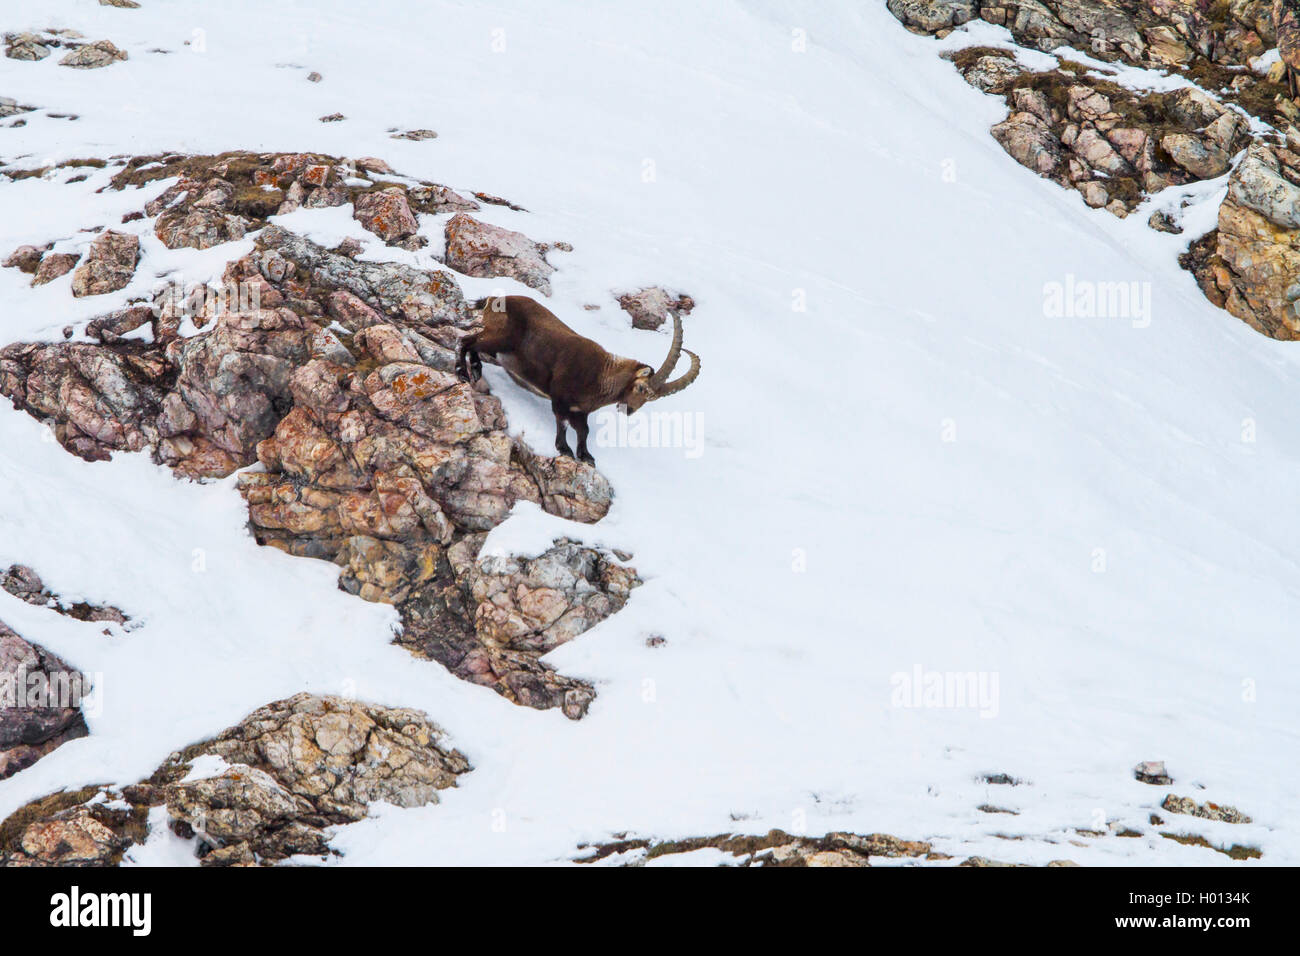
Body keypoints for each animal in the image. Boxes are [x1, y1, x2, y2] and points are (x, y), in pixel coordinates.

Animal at [456, 295, 700, 464]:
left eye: (652, 399)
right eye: (641, 388)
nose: (628, 411)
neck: (601, 376)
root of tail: (495, 299)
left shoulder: (580, 410)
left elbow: (584, 430)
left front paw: (586, 455)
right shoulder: (560, 398)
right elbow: (562, 422)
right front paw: (564, 448)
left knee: (473, 343)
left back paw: (475, 369)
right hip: (501, 338)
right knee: (466, 341)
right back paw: (463, 372)